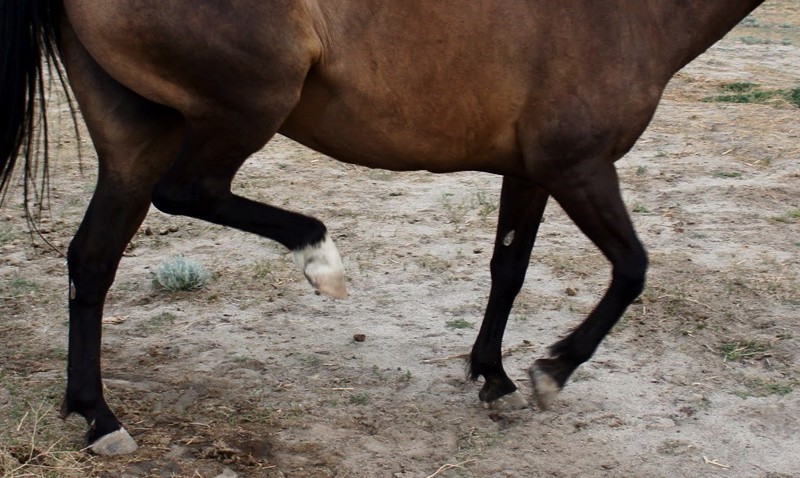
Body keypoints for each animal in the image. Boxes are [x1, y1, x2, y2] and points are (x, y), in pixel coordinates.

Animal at [1, 0, 767, 455]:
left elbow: (509, 269)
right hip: (244, 106)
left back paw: (97, 417)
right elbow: (632, 269)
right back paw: (321, 259)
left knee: (93, 260)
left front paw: (492, 374)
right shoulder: (580, 166)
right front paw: (551, 371)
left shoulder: (531, 172)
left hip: (136, 134)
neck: (622, 14)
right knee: (186, 193)